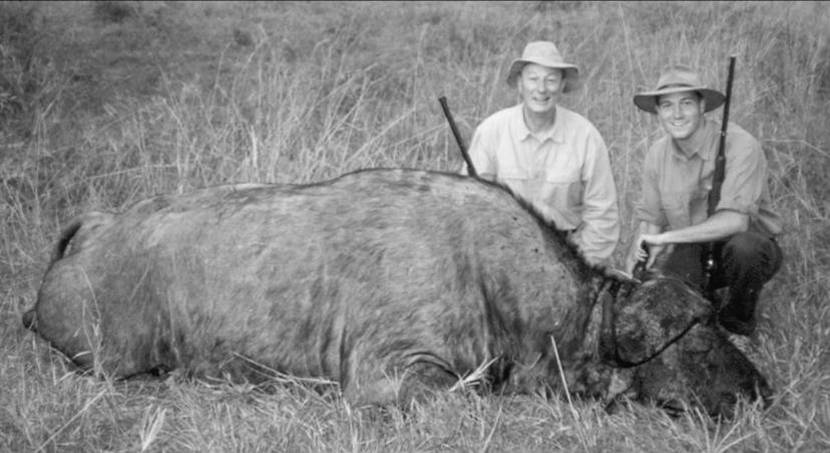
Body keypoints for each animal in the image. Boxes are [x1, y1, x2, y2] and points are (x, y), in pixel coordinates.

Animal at [22, 168, 770, 417]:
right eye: (695, 338)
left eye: (712, 324)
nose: (759, 391)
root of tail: (94, 228)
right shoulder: (391, 378)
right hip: (110, 361)